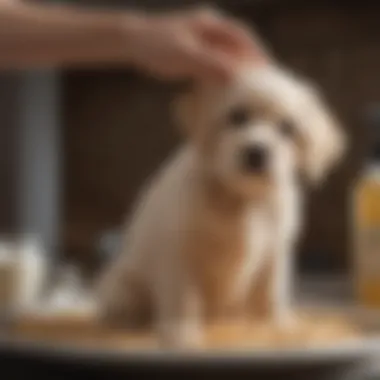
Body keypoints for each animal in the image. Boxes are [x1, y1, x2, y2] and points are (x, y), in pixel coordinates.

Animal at [96, 63, 346, 348]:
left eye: (287, 128)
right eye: (238, 117)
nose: (257, 152)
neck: (241, 199)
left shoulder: (274, 253)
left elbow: (271, 295)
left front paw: (279, 328)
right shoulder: (180, 255)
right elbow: (183, 301)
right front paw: (182, 338)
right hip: (121, 288)